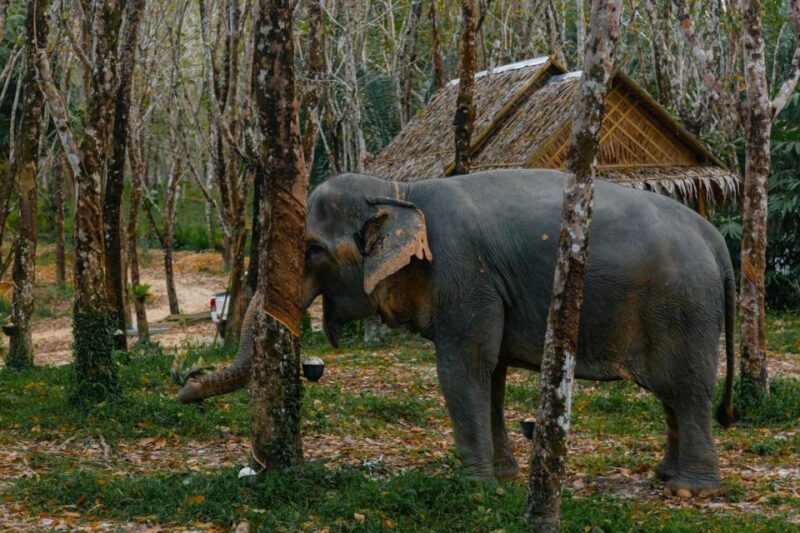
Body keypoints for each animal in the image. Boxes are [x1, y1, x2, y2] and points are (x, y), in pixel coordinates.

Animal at [178, 169, 736, 496]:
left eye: (313, 250)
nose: (184, 385)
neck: (400, 191)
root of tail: (714, 237)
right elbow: (492, 375)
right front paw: (504, 477)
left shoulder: (462, 273)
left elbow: (464, 366)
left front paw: (474, 486)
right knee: (672, 397)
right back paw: (666, 477)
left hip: (683, 308)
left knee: (686, 391)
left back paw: (693, 490)